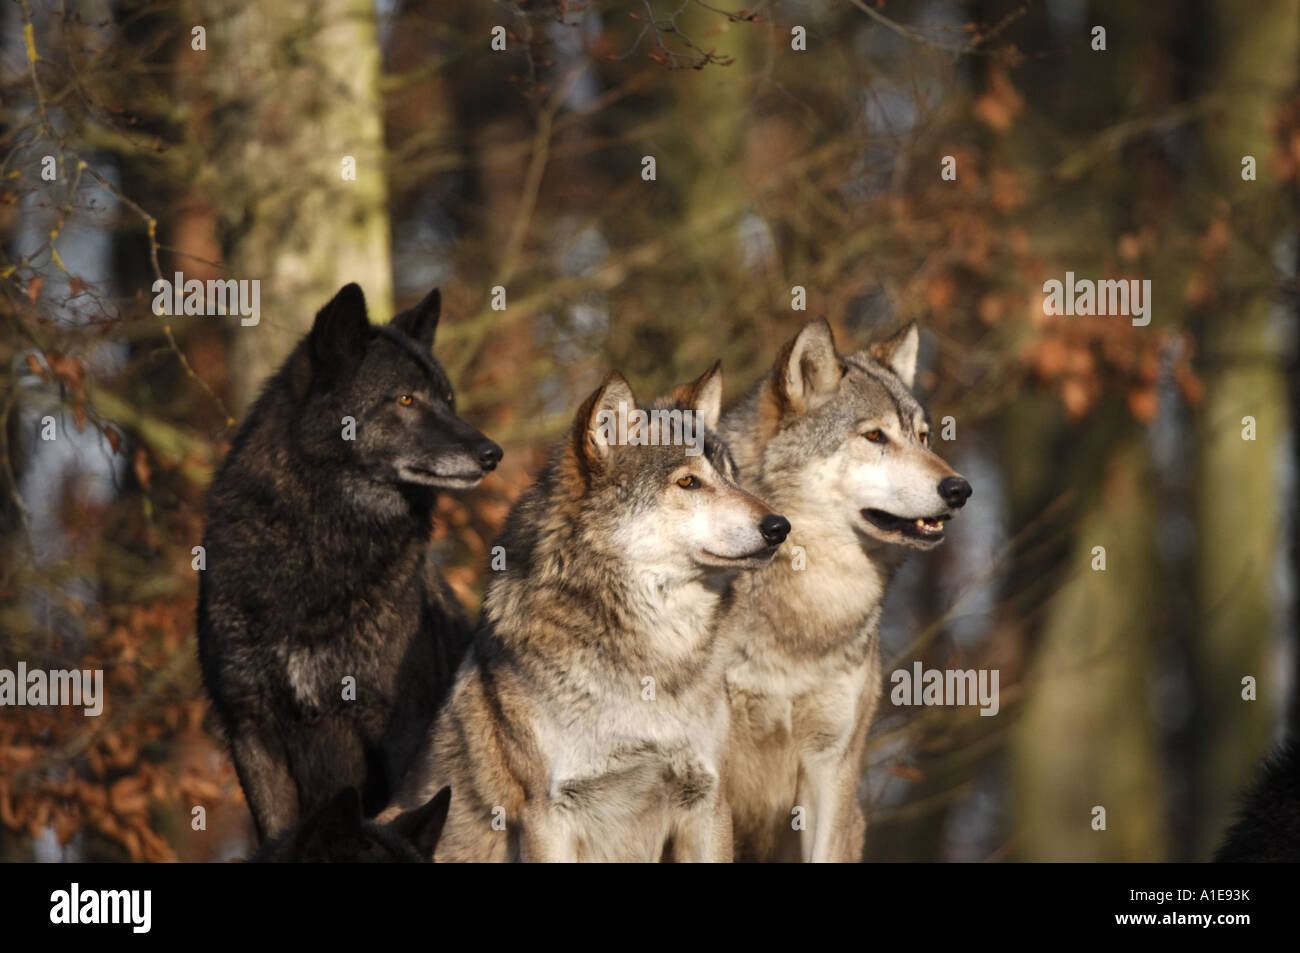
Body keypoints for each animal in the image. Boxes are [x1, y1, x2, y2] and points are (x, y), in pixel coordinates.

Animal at [198, 283, 501, 842]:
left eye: (448, 401)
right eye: (406, 398)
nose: (493, 453)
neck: (319, 552)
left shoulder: (400, 730)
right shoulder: (251, 733)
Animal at [383, 364, 790, 862]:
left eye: (734, 478)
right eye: (688, 482)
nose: (780, 527)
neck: (655, 661)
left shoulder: (708, 804)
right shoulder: (548, 814)